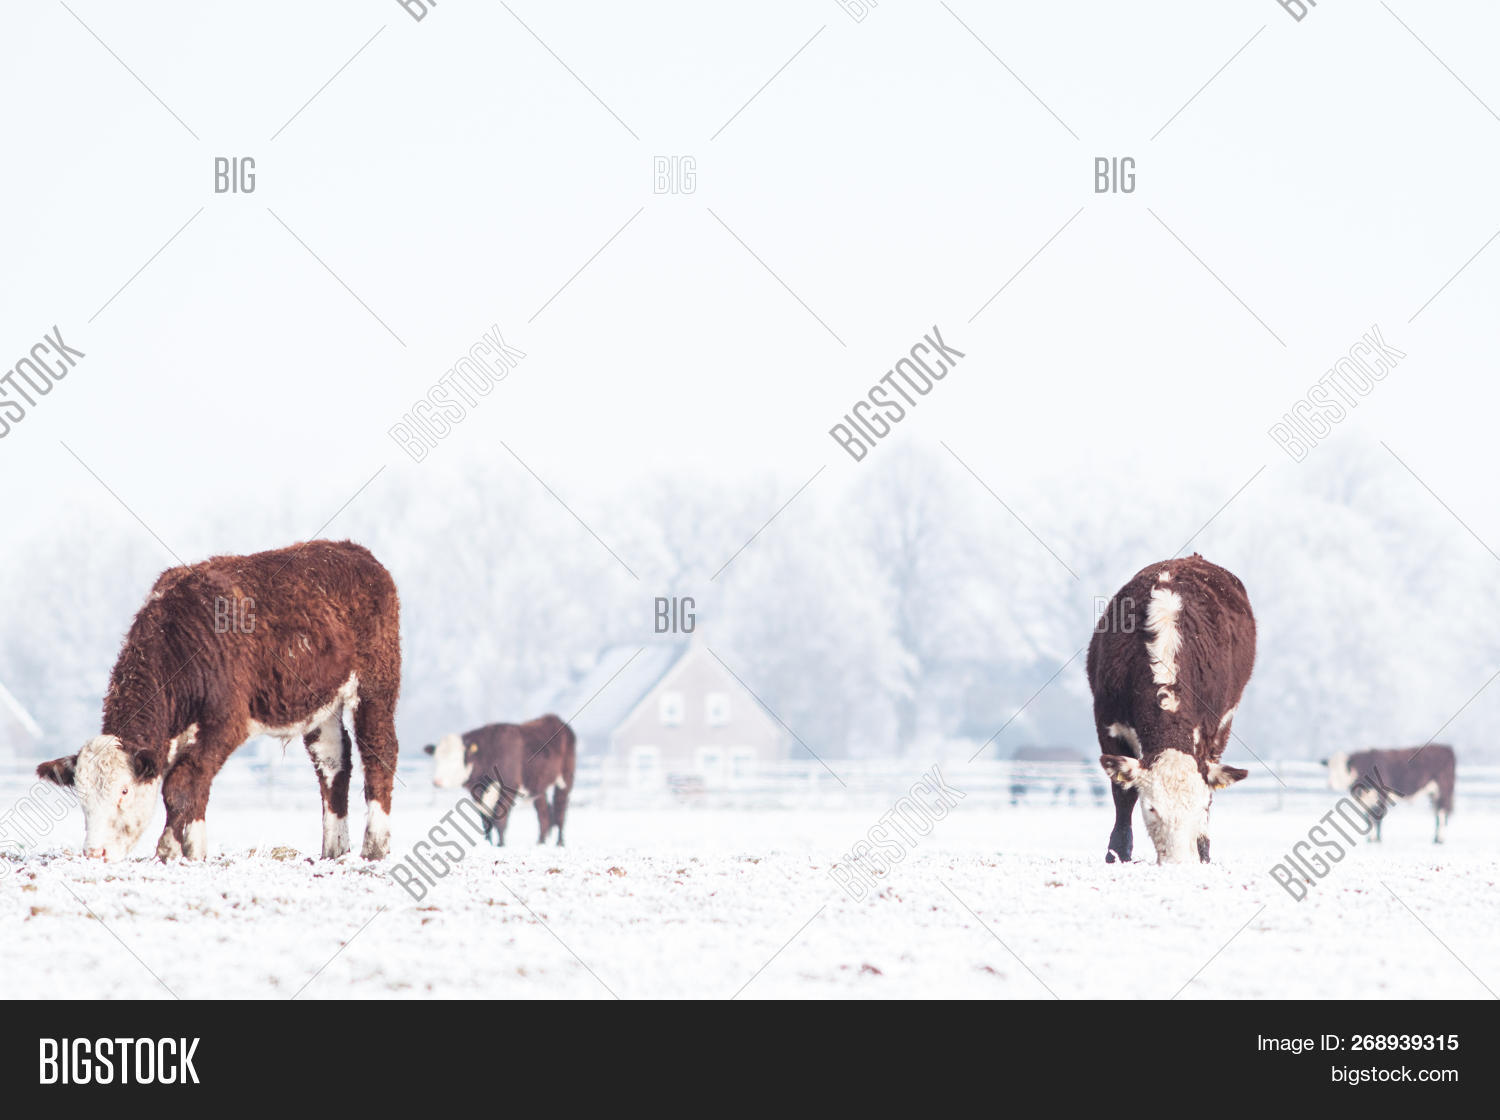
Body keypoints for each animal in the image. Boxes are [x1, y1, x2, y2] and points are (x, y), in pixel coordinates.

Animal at [35, 540, 402, 862]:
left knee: (379, 753)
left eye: (124, 791)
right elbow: (195, 788)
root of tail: (352, 550)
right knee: (333, 764)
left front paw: (168, 852)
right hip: (321, 703)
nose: (94, 852)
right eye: (81, 793)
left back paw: (374, 848)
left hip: (377, 684)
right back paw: (334, 851)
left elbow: (180, 786)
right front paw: (194, 852)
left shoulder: (226, 722)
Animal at [424, 714, 576, 846]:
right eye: (437, 758)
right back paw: (540, 842)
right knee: (543, 812)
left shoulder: (509, 787)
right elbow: (485, 820)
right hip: (537, 784)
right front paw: (488, 843)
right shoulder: (477, 792)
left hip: (565, 779)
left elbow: (499, 819)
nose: (437, 782)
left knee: (560, 810)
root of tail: (554, 718)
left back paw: (560, 842)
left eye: (455, 759)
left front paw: (500, 845)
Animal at [1089, 553, 1255, 864]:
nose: (1178, 862)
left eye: (1199, 808)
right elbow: (1122, 794)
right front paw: (1117, 853)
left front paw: (1202, 850)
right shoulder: (1108, 722)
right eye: (1152, 808)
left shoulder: (1207, 729)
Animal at [1324, 746, 1456, 843]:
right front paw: (1370, 839)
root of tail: (1446, 748)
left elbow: (1377, 819)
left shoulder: (1381, 795)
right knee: (1438, 814)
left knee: (1442, 813)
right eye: (1330, 768)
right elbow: (1368, 819)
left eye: (1343, 768)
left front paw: (1377, 839)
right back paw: (1436, 838)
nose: (1330, 784)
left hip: (1443, 791)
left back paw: (1440, 839)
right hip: (1434, 794)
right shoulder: (1367, 800)